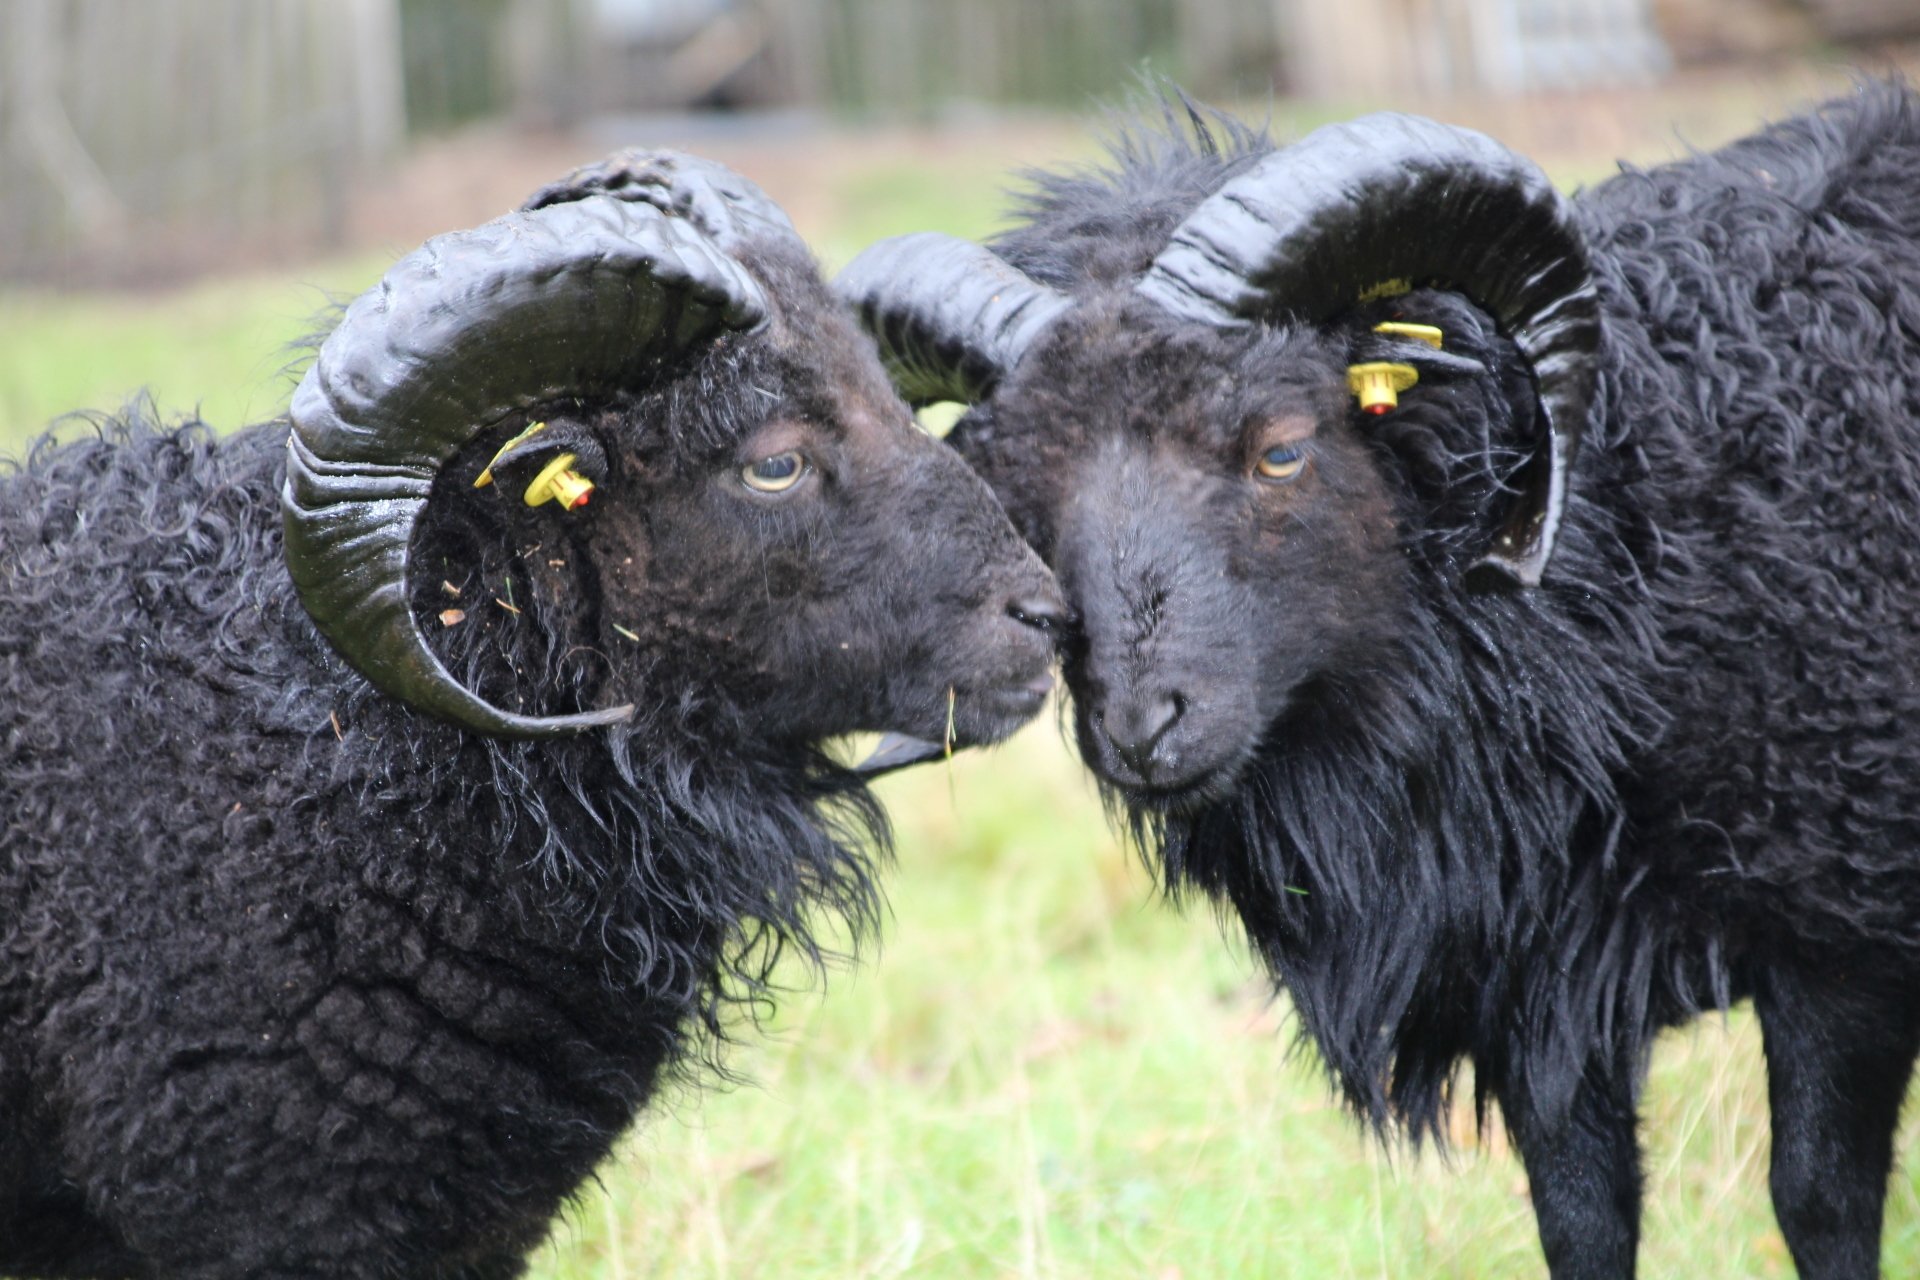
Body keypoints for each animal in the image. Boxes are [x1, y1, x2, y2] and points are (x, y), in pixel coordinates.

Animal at [837, 84, 1920, 1279]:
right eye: (1018, 499)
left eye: (1280, 448)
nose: (1140, 726)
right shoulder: (1538, 993)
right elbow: (1583, 1223)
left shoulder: (1843, 950)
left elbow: (1817, 1199)